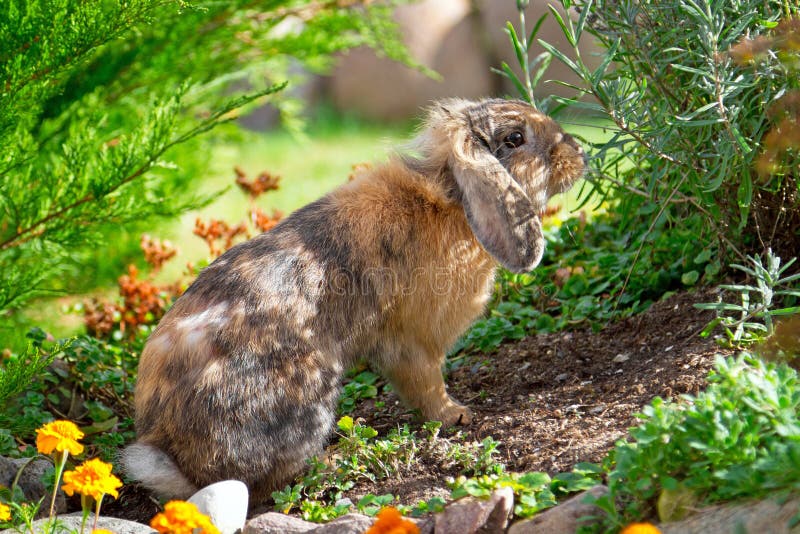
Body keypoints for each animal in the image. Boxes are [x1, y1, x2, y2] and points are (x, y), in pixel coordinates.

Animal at [121, 98, 586, 503]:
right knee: (274, 480)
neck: (452, 197)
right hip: (310, 389)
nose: (578, 152)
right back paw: (336, 457)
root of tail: (182, 463)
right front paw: (457, 415)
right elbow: (425, 384)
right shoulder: (412, 343)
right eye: (515, 138)